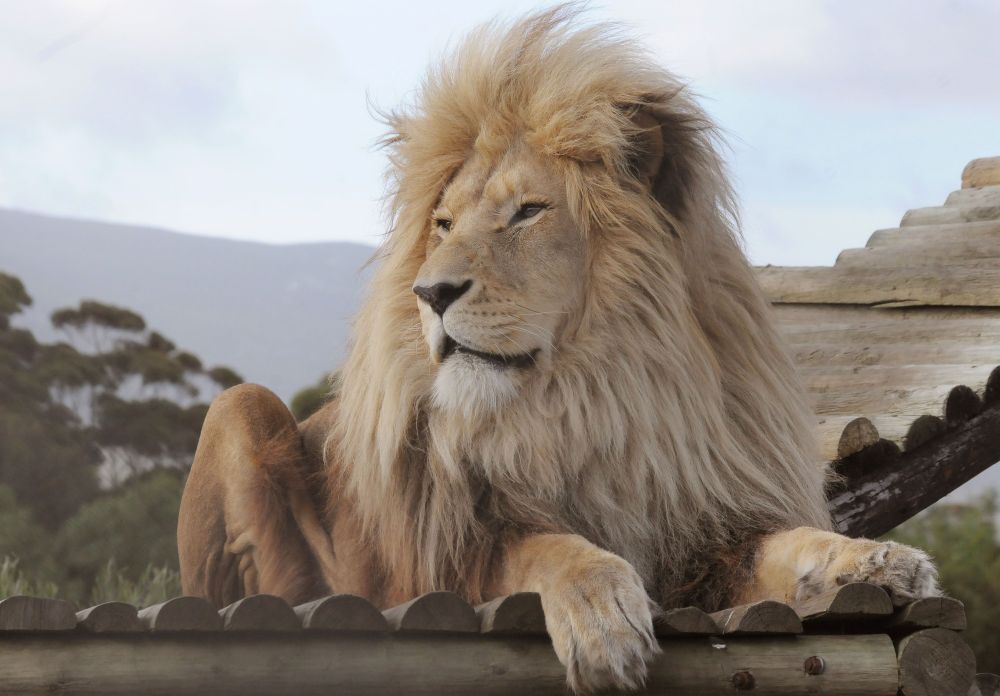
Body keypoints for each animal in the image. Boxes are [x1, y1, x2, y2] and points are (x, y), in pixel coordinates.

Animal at [178, 7, 940, 692]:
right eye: (444, 224)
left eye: (527, 213)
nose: (430, 292)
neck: (590, 400)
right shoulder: (453, 559)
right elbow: (553, 548)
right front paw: (605, 622)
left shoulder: (705, 538)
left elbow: (797, 543)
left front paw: (882, 561)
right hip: (239, 407)